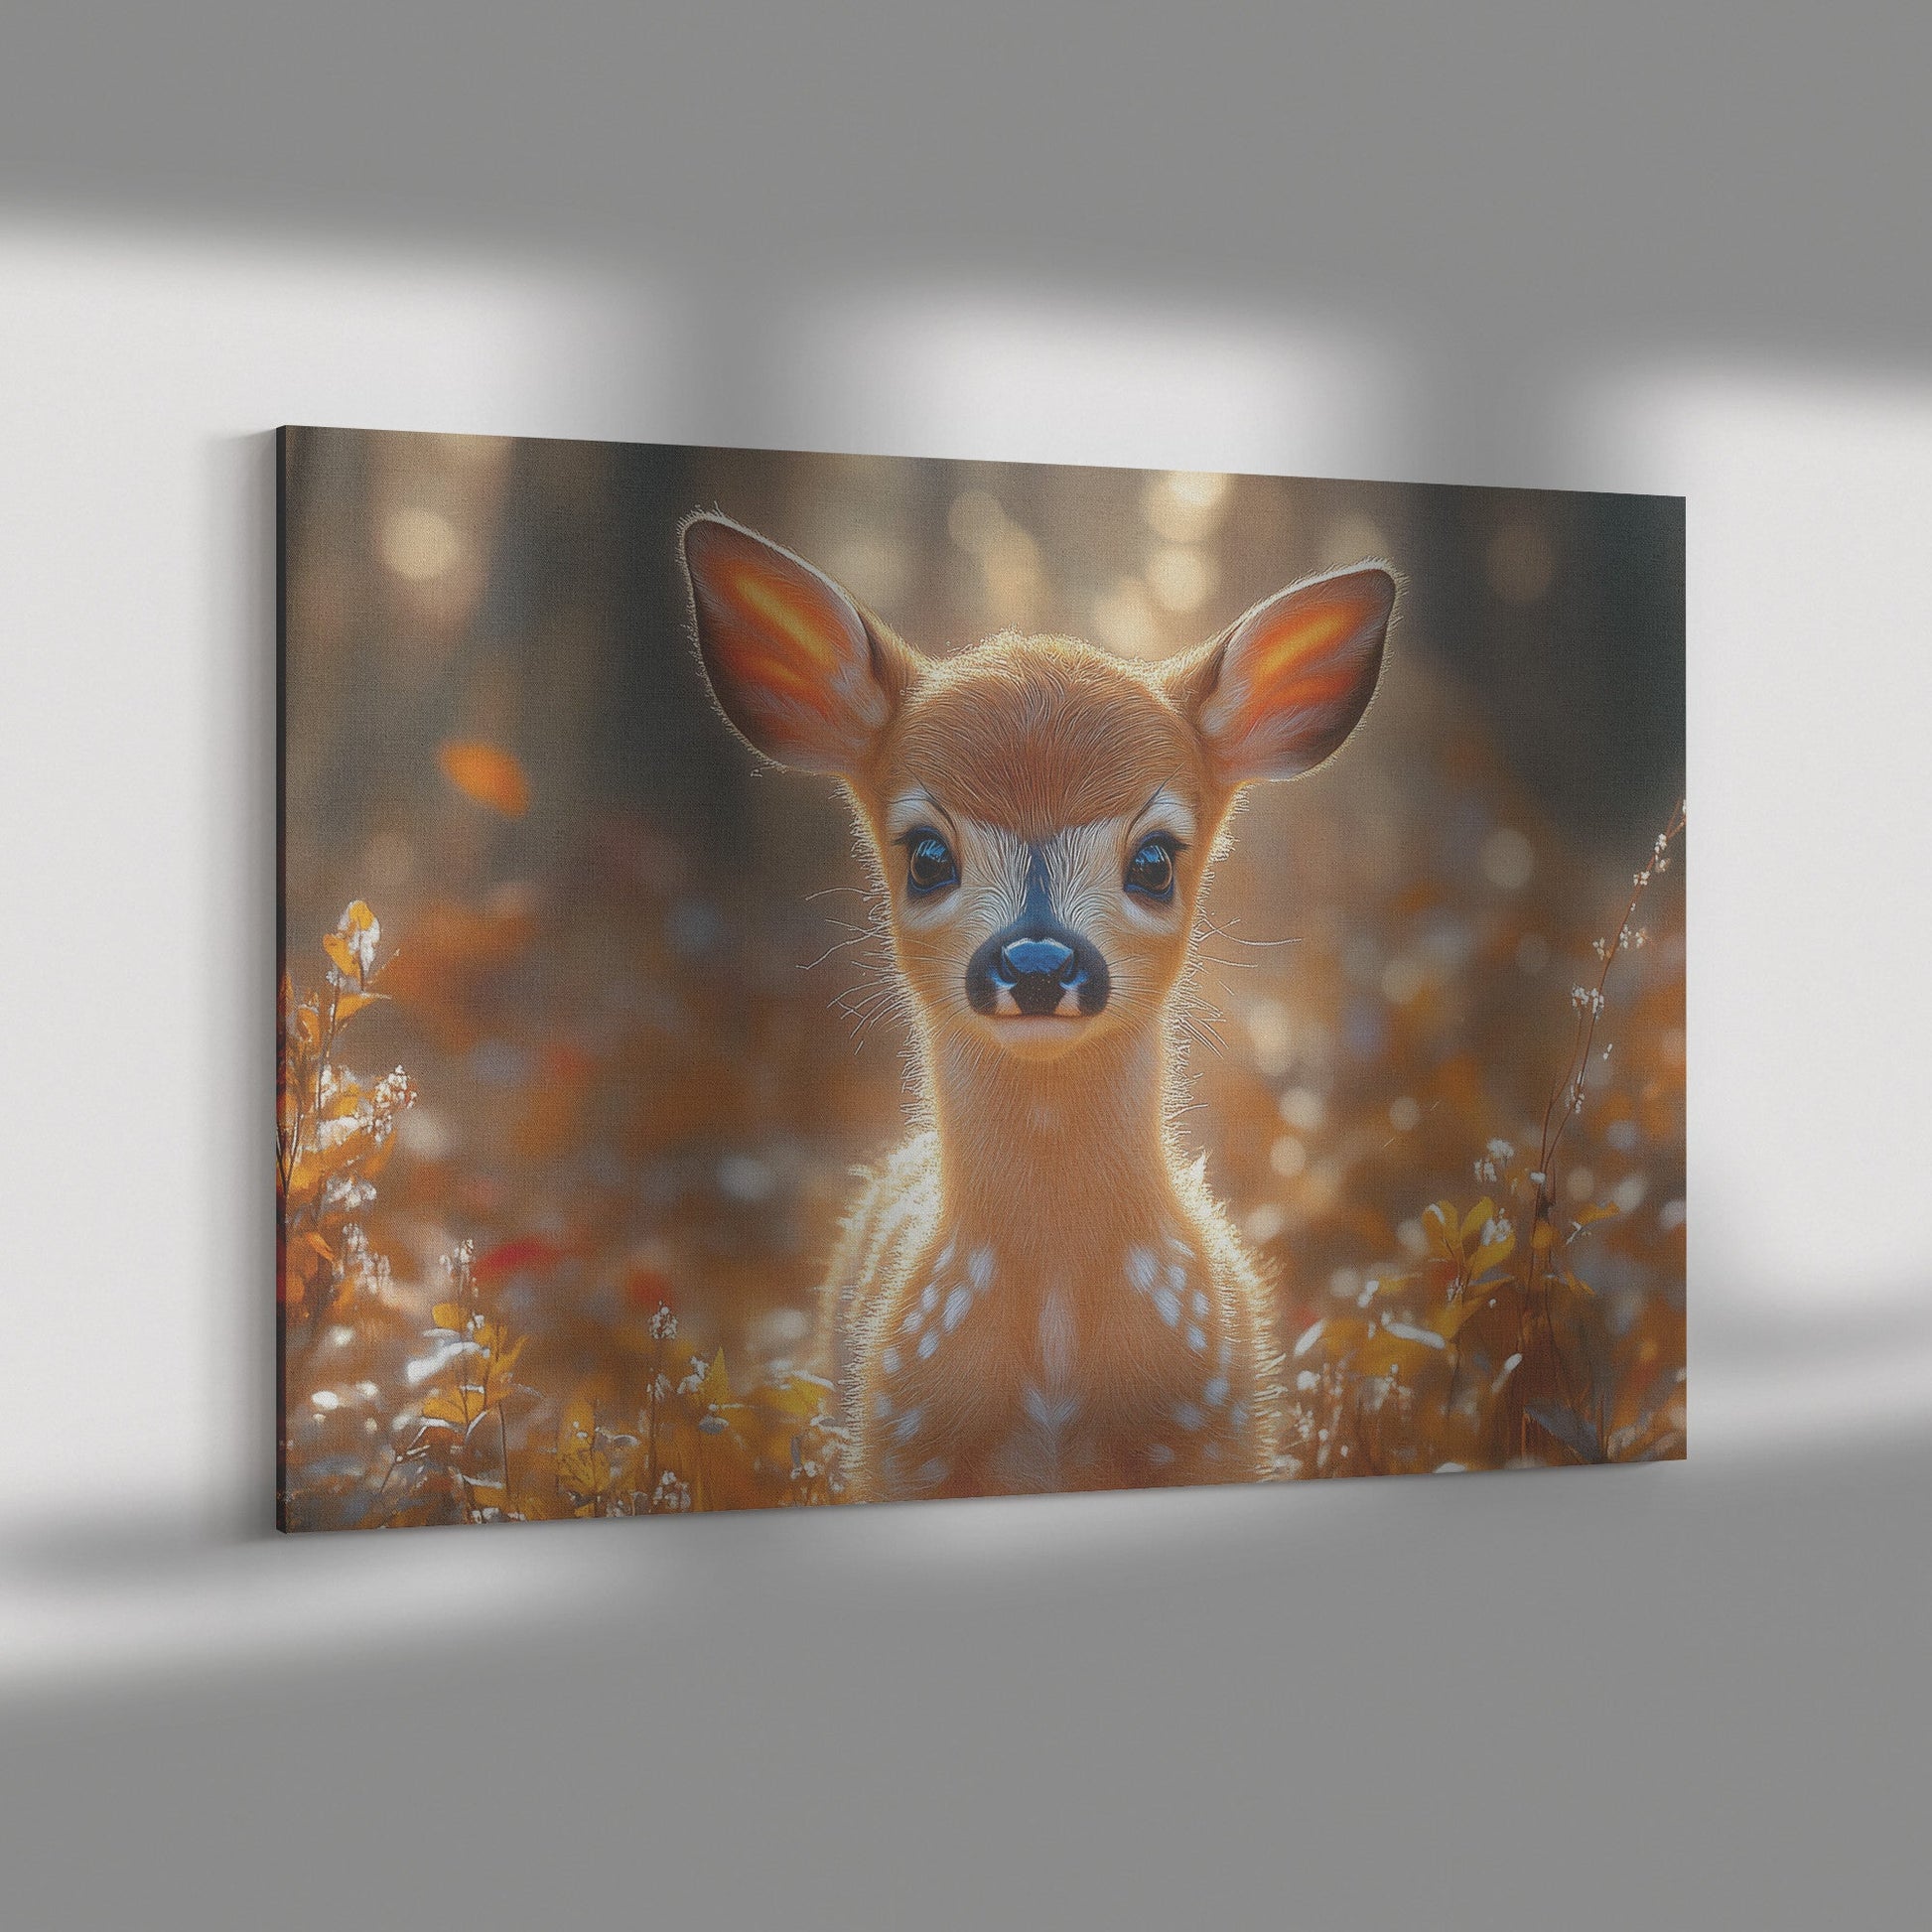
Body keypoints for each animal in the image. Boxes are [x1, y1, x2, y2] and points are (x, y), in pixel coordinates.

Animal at [680, 511, 1394, 1503]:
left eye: (1156, 859)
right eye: (927, 854)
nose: (1038, 960)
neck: (1056, 1351)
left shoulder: (1216, 1433)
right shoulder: (903, 1446)